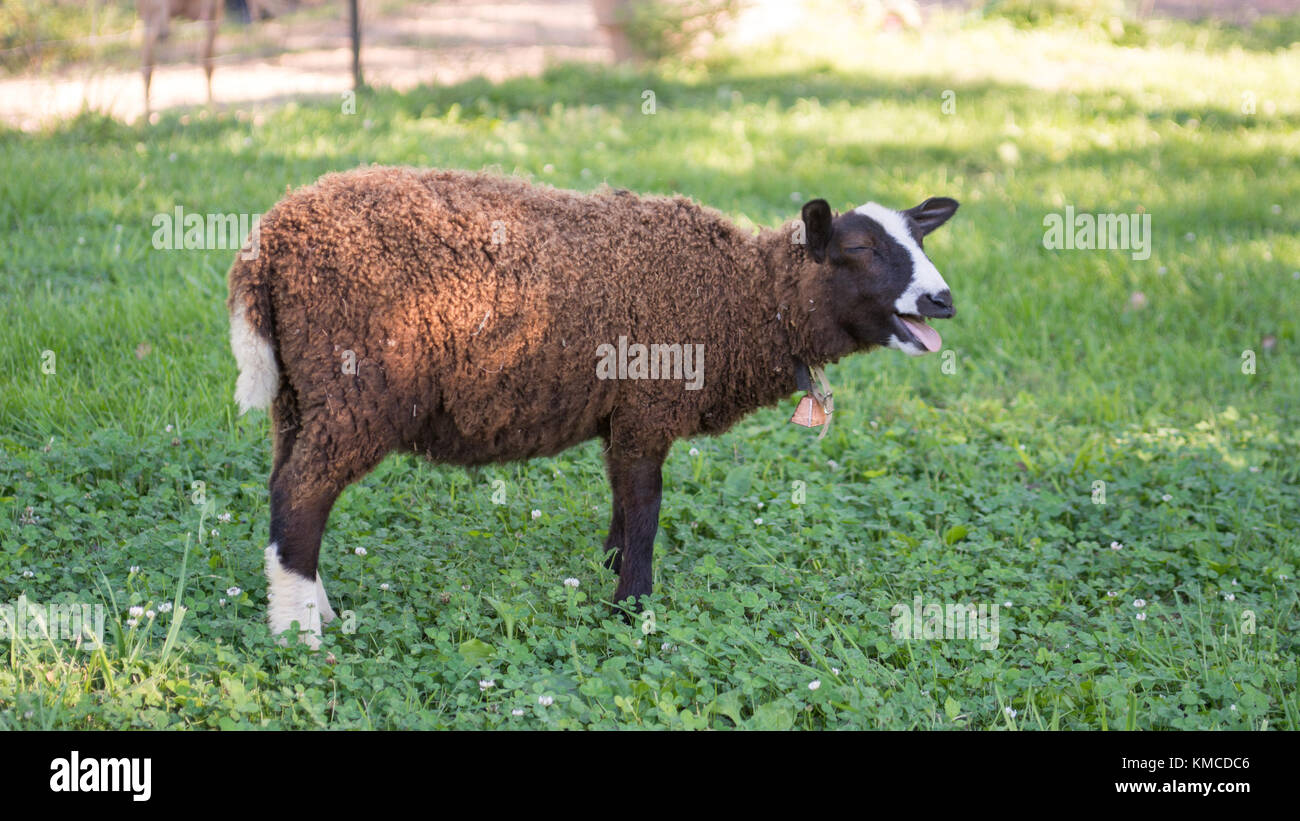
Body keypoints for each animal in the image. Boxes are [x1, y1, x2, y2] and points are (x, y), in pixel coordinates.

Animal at [227, 166, 959, 646]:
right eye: (858, 250)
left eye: (920, 242)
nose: (942, 300)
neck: (746, 299)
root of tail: (269, 244)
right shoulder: (648, 406)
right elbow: (646, 508)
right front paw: (634, 606)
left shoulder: (622, 414)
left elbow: (621, 504)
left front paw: (607, 578)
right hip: (358, 390)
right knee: (303, 493)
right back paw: (298, 633)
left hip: (301, 394)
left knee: (287, 488)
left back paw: (314, 607)